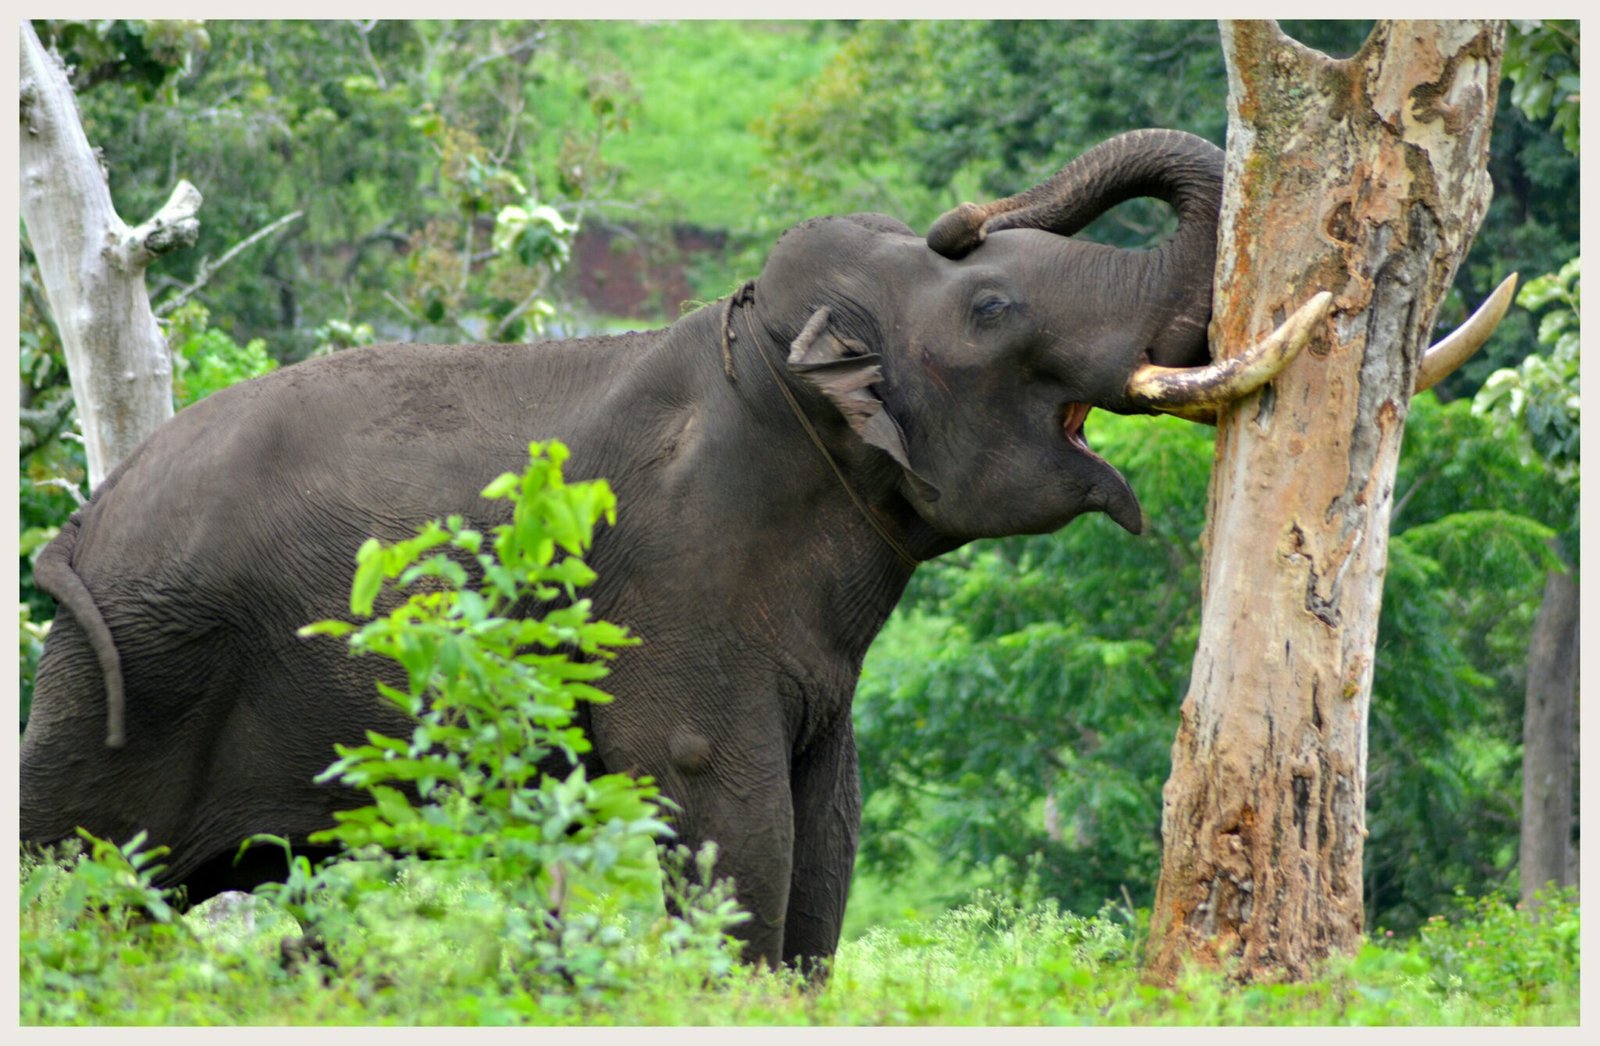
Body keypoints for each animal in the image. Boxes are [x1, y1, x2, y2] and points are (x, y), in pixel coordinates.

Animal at [21, 128, 1501, 972]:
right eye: (991, 300)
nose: (964, 209)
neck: (763, 366)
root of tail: (79, 521)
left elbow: (822, 835)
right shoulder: (678, 589)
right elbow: (731, 827)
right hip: (129, 675)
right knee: (72, 866)